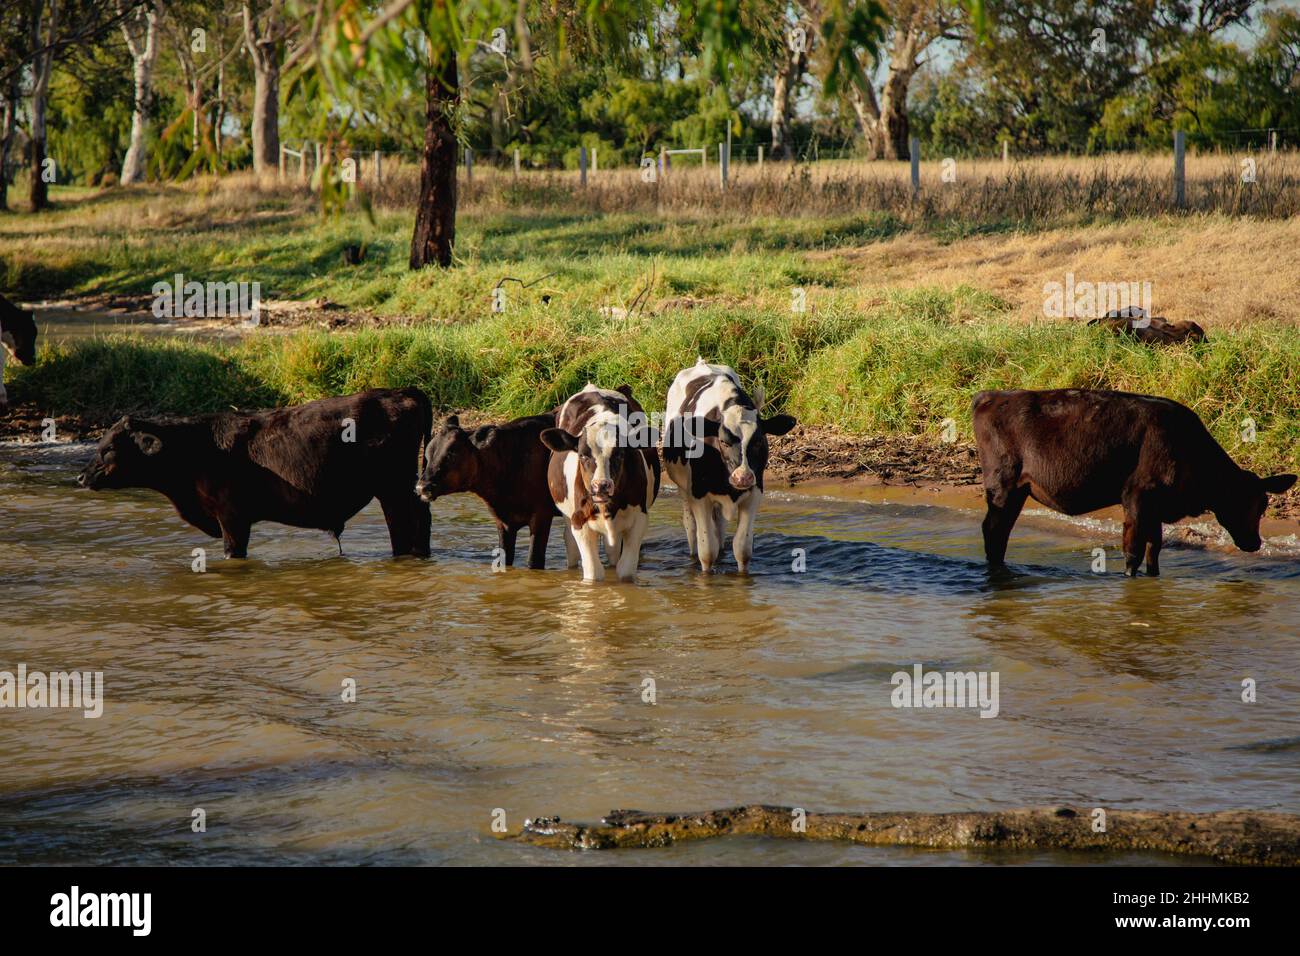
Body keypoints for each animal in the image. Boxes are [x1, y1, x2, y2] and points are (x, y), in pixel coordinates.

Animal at [78, 388, 433, 559]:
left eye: (108, 449)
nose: (81, 477)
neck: (197, 447)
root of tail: (399, 391)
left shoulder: (232, 518)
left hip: (393, 489)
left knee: (405, 527)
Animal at [415, 411, 576, 570]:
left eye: (451, 454)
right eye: (428, 454)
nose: (422, 487)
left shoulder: (541, 516)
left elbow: (533, 561)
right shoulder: (502, 521)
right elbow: (504, 558)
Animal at [539, 384, 660, 582]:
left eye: (620, 454)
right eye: (582, 455)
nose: (601, 486)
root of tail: (592, 388)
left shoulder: (639, 520)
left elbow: (625, 571)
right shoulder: (579, 521)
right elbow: (593, 573)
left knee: (612, 553)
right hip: (568, 517)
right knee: (571, 545)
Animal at [662, 358, 796, 573]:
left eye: (759, 441)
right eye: (723, 442)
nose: (742, 477)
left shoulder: (754, 492)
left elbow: (742, 548)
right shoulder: (699, 494)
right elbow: (707, 550)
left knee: (720, 528)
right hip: (683, 488)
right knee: (691, 526)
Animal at [972, 388, 1296, 576]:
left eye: (1263, 505)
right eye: (1243, 502)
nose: (1254, 543)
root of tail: (994, 395)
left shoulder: (1156, 508)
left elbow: (1154, 549)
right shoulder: (1138, 498)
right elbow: (1134, 551)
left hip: (1016, 491)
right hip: (1003, 487)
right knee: (993, 531)